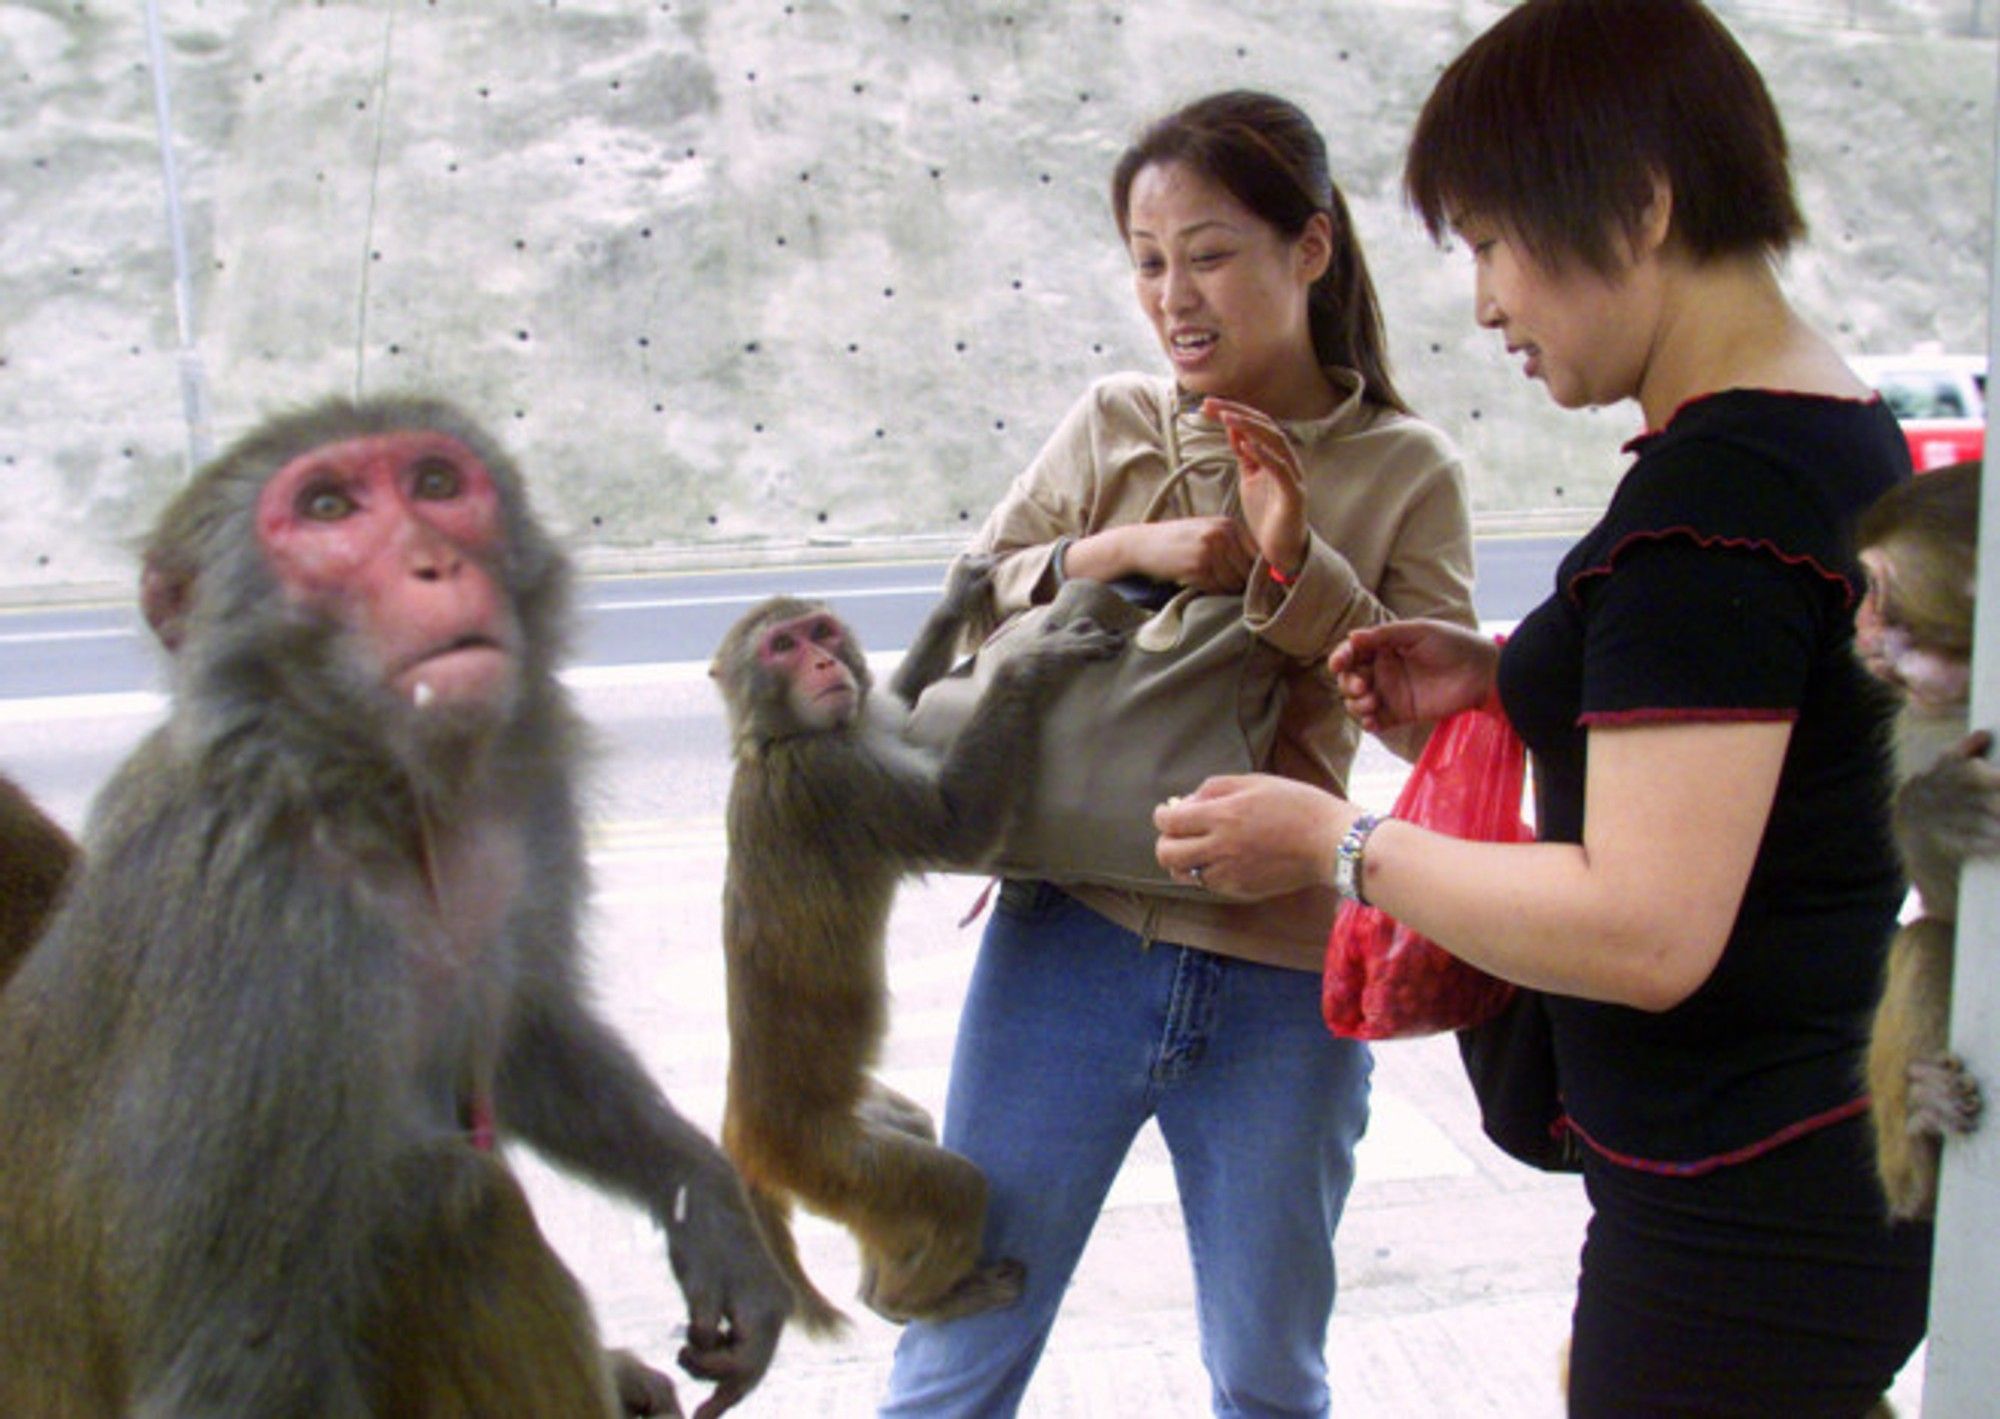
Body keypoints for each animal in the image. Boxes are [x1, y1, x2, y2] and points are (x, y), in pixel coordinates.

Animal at [709, 564, 1125, 1334]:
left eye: (820, 631)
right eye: (782, 646)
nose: (824, 664)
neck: (776, 738)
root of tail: (743, 1133)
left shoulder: (859, 727)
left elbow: (899, 706)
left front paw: (955, 602)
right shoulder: (836, 776)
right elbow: (958, 825)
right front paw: (1030, 662)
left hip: (853, 1131)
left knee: (910, 1130)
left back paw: (885, 1294)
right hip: (829, 1160)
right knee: (949, 1185)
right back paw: (917, 1298)